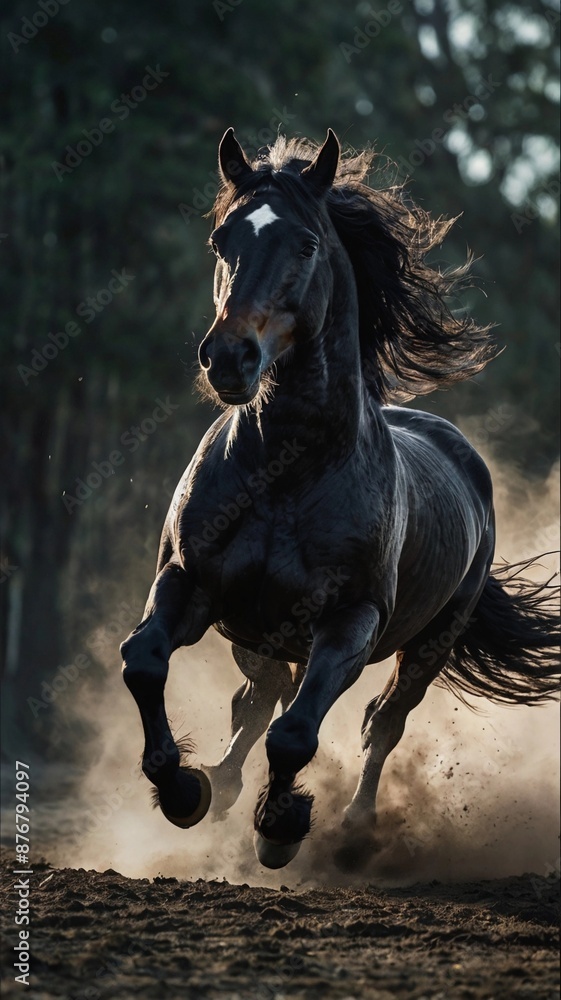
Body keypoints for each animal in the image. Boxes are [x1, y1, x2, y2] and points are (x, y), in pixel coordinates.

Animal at [120, 128, 560, 870]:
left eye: (305, 243)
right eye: (221, 239)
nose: (229, 358)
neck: (287, 474)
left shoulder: (349, 624)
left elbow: (299, 732)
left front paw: (279, 828)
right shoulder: (189, 583)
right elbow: (146, 662)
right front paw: (184, 790)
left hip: (428, 645)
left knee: (380, 724)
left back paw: (353, 829)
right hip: (264, 635)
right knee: (258, 699)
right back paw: (226, 785)